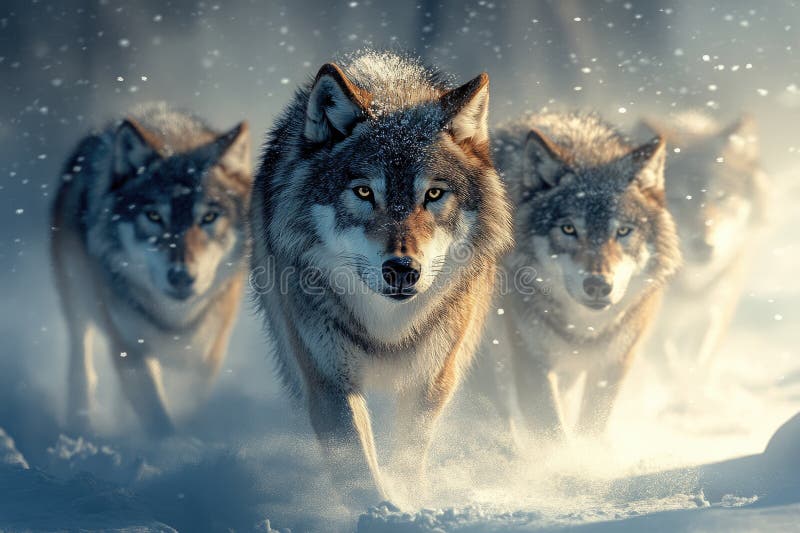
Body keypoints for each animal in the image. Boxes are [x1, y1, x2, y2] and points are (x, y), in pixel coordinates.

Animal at [51, 103, 251, 436]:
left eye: (209, 217)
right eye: (155, 216)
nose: (182, 276)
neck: (175, 320)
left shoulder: (205, 357)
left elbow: (188, 406)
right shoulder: (130, 350)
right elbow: (160, 420)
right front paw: (171, 448)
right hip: (77, 297)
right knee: (81, 363)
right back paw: (80, 424)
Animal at [250, 51, 512, 503]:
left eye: (433, 194)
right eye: (364, 192)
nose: (402, 269)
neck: (388, 329)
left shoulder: (431, 378)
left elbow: (407, 456)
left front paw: (408, 502)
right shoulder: (328, 381)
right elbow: (356, 467)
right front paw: (378, 508)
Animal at [484, 112, 681, 442]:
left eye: (623, 231)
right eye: (569, 229)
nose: (598, 285)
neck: (585, 330)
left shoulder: (615, 363)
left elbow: (591, 427)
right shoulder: (531, 361)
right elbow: (553, 433)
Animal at [637, 112, 767, 375]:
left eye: (721, 196)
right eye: (678, 199)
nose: (704, 245)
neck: (690, 287)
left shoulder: (714, 312)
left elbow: (698, 363)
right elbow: (668, 366)